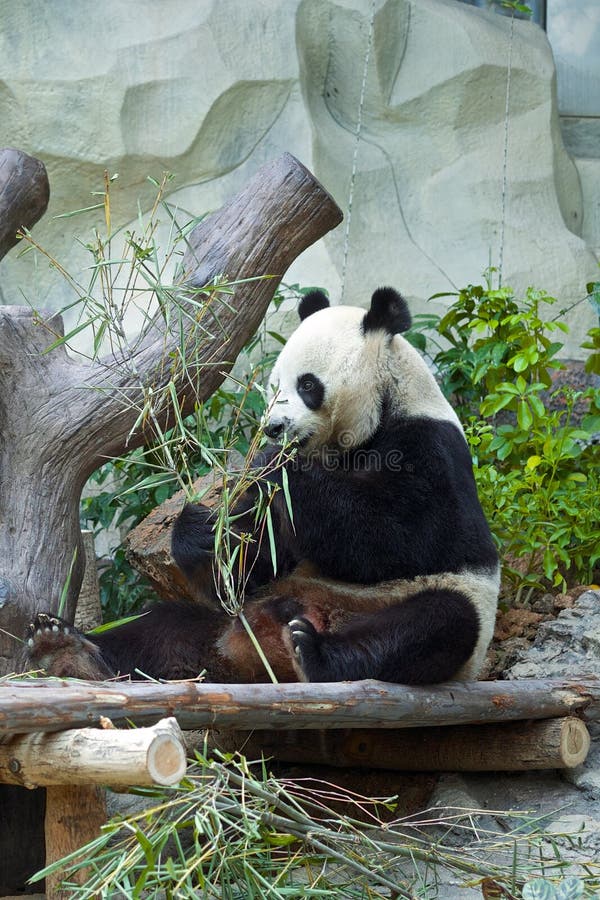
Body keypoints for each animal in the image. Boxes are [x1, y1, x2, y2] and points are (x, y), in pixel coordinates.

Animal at [25, 287, 499, 685]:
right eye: (274, 387)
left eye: (307, 384)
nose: (273, 428)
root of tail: (256, 653)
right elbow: (252, 565)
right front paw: (202, 528)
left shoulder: (430, 446)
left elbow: (403, 538)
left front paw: (271, 464)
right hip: (223, 622)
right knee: (160, 627)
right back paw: (67, 650)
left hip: (433, 609)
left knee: (436, 622)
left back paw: (316, 654)